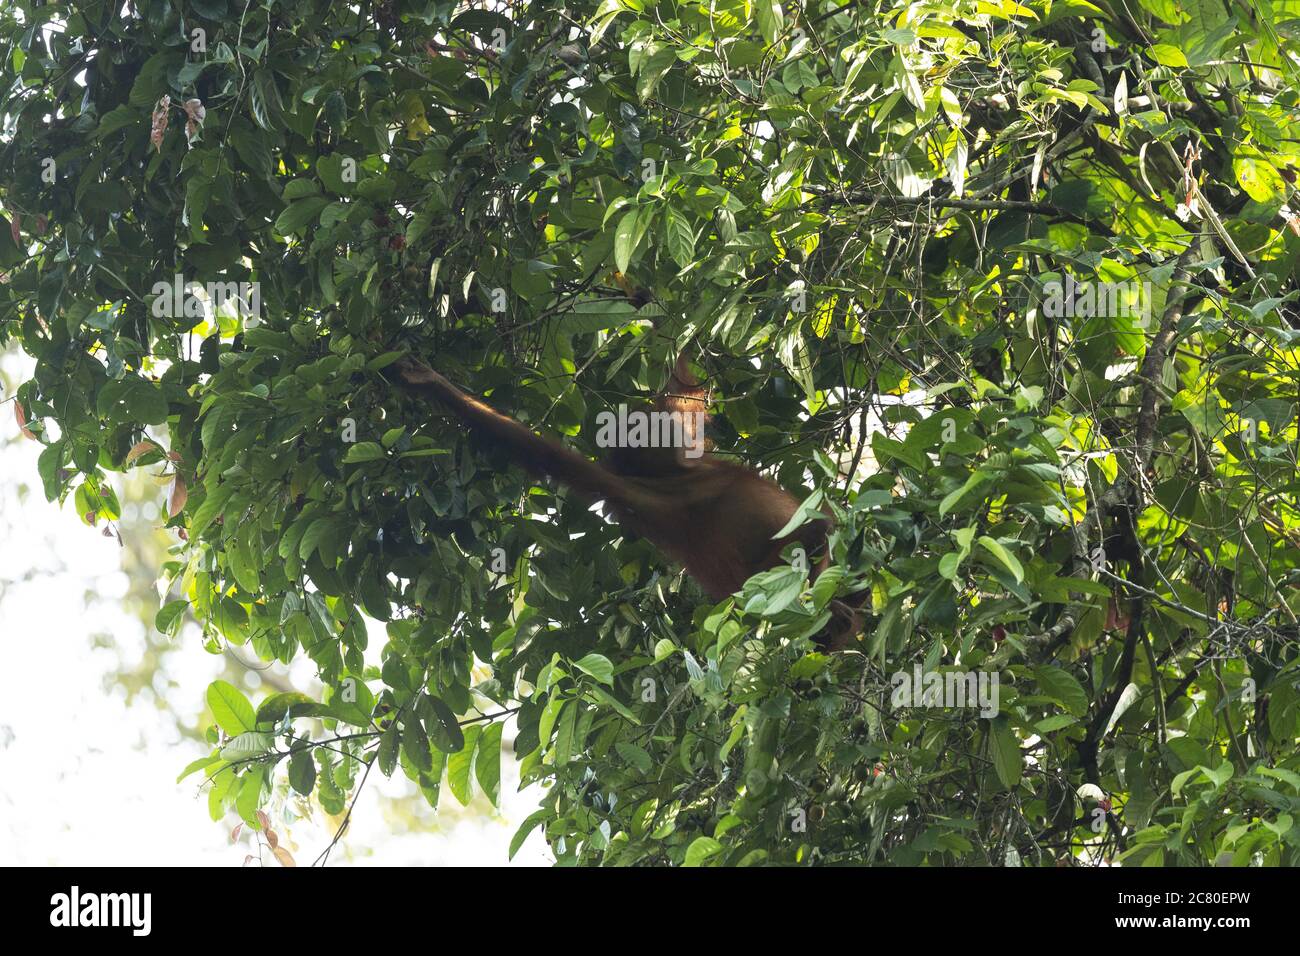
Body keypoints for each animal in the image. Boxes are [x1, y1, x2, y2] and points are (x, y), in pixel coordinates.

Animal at [392, 354, 862, 649]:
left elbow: (682, 388)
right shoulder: (643, 493)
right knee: (805, 544)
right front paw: (434, 387)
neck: (678, 479)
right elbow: (548, 456)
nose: (671, 433)